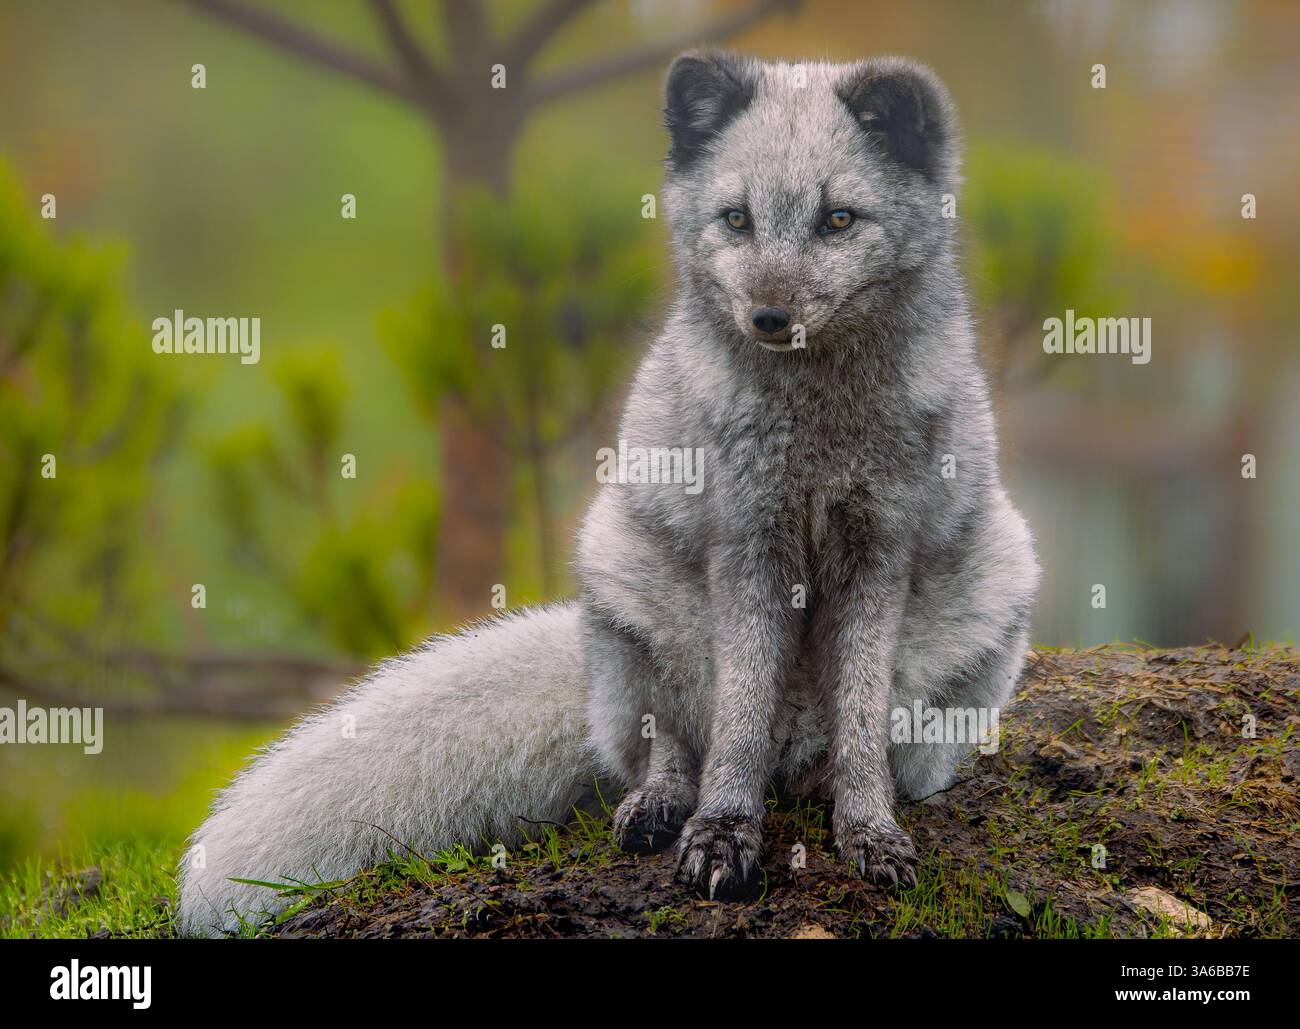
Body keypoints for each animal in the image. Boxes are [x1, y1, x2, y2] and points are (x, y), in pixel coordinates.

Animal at [176, 51, 1039, 935]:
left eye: (838, 220)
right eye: (736, 219)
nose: (767, 316)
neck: (815, 428)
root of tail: (794, 741)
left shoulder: (880, 550)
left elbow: (861, 718)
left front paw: (867, 831)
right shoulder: (747, 544)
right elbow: (735, 723)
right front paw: (724, 833)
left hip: (1000, 578)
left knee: (868, 751)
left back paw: (841, 787)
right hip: (627, 574)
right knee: (673, 745)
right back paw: (661, 806)